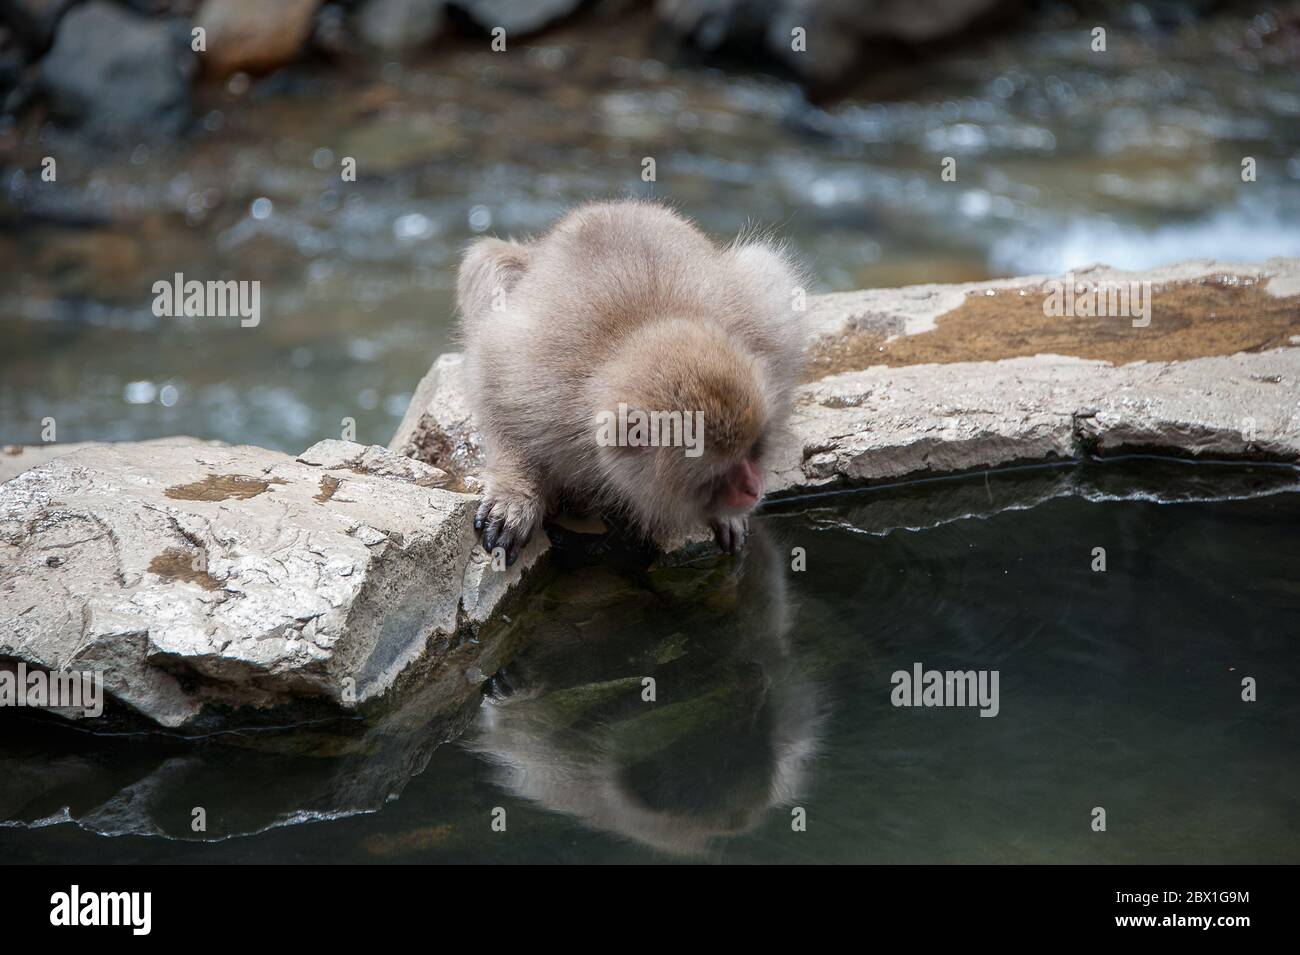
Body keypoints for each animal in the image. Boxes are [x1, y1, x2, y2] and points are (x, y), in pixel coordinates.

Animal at [458, 200, 805, 564]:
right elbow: (492, 381)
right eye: (720, 473)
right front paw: (515, 492)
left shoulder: (768, 340)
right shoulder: (532, 375)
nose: (754, 488)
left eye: (753, 450)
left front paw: (727, 515)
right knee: (484, 264)